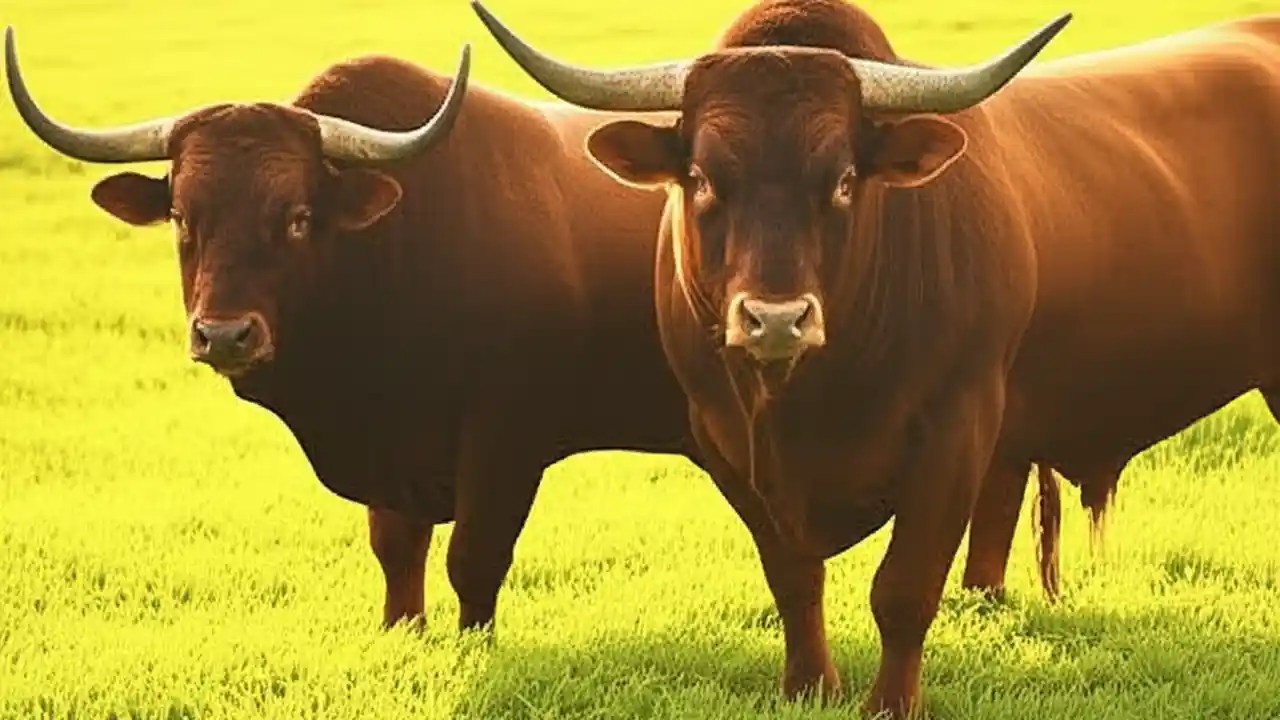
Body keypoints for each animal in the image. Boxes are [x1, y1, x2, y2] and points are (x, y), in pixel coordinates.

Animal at [5, 27, 703, 636]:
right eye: (180, 215)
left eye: (297, 217)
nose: (224, 336)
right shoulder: (392, 456)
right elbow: (396, 549)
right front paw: (402, 635)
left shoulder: (506, 437)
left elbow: (474, 558)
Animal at [472, 0, 1280, 714]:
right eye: (701, 178)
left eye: (842, 180)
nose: (775, 319)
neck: (810, 401)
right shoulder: (722, 441)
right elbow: (792, 575)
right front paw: (809, 687)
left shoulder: (955, 431)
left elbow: (903, 588)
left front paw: (891, 704)